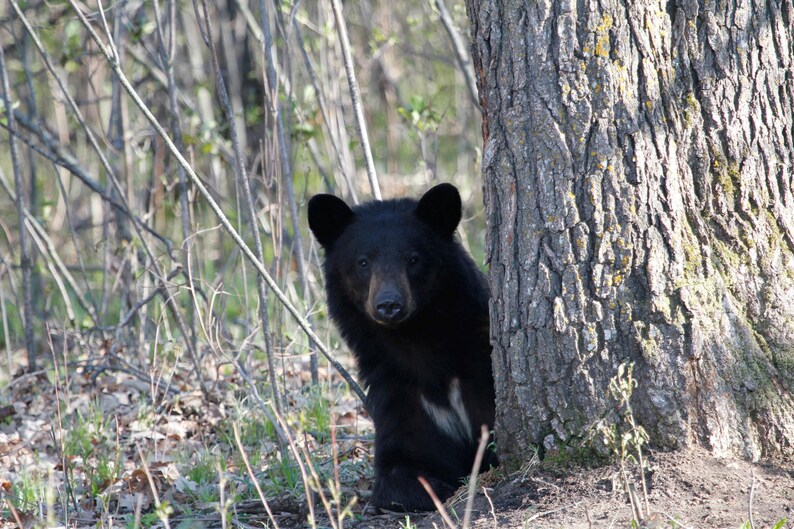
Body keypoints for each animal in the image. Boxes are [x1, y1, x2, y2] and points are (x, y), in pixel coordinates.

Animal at [307, 183, 496, 512]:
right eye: (363, 262)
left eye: (413, 258)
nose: (389, 305)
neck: (416, 341)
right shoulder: (398, 390)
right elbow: (400, 468)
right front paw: (438, 485)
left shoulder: (480, 368)